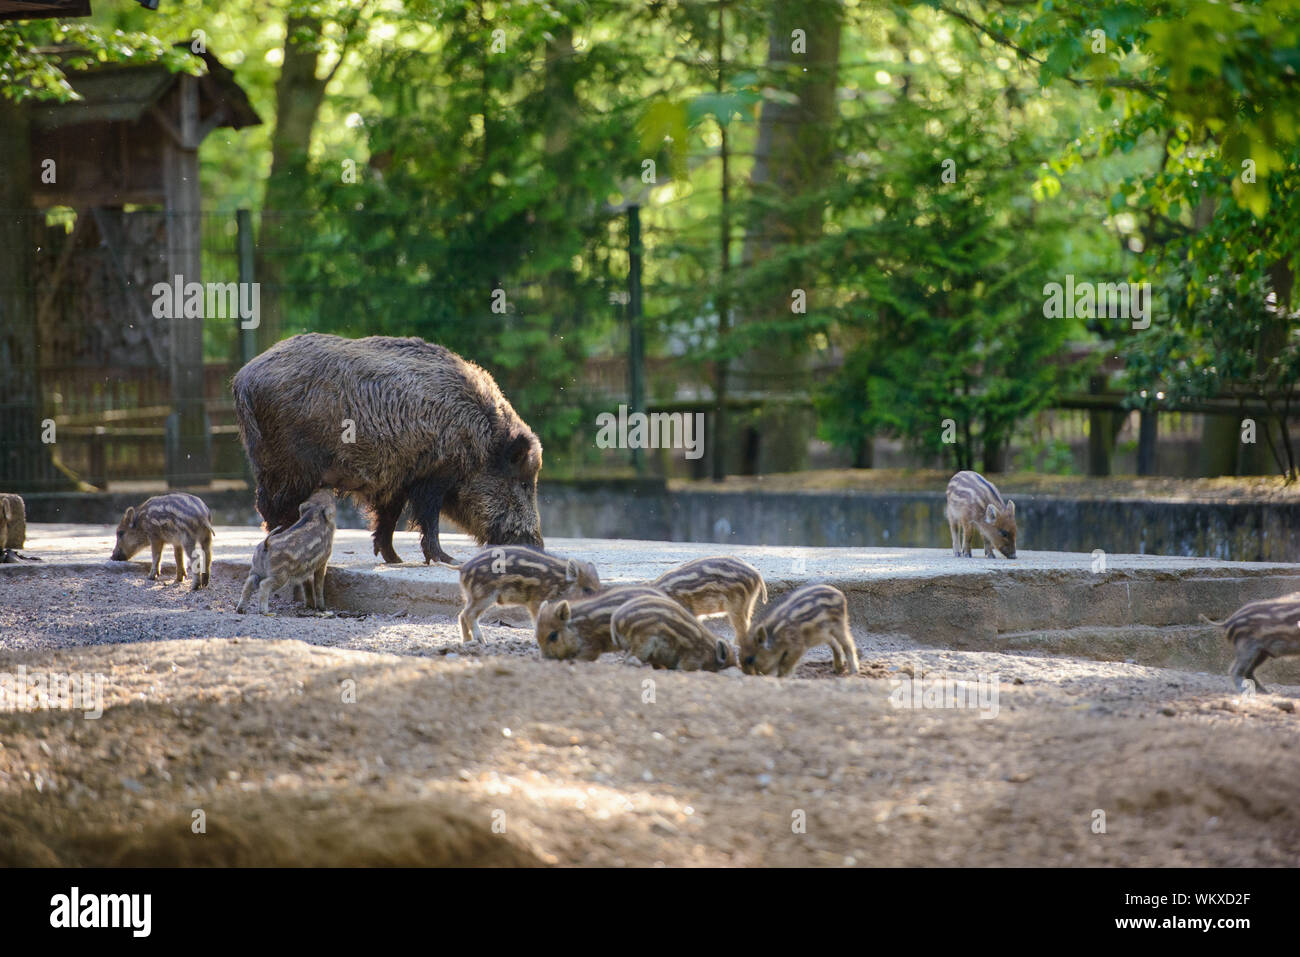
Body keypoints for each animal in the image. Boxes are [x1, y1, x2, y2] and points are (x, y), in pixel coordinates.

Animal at [232, 333, 544, 567]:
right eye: (524, 483)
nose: (537, 546)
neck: (481, 443)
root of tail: (242, 378)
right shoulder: (434, 476)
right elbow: (428, 519)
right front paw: (448, 560)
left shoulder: (397, 481)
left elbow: (388, 519)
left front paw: (395, 560)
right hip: (286, 468)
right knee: (269, 506)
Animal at [457, 546, 600, 643]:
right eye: (587, 589)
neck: (560, 582)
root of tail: (463, 567)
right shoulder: (536, 601)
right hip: (484, 595)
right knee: (468, 614)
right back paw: (481, 640)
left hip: (472, 596)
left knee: (462, 615)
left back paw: (467, 641)